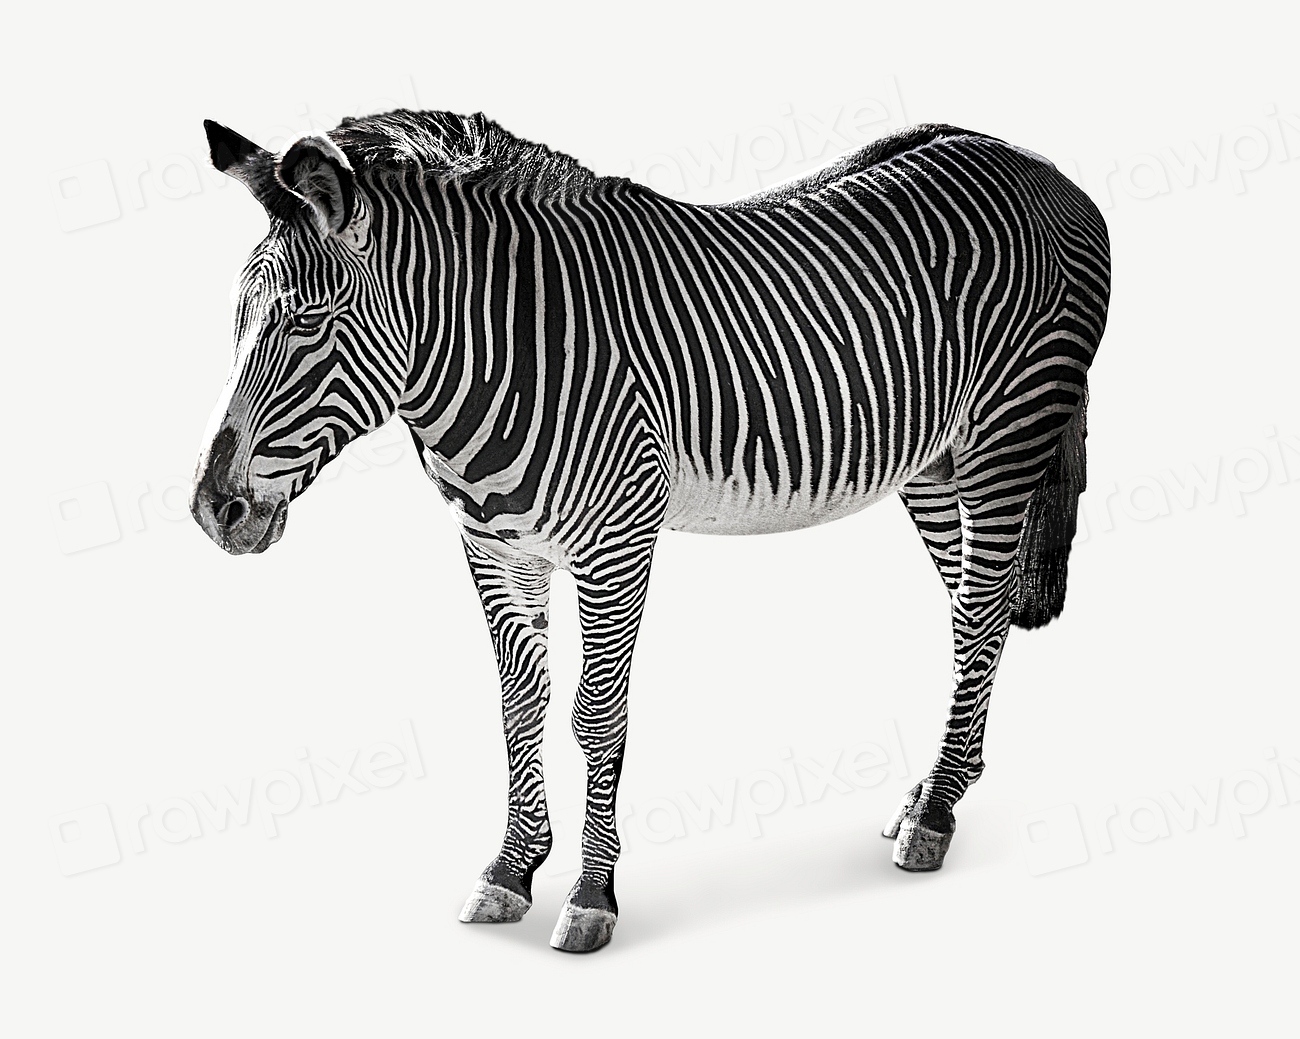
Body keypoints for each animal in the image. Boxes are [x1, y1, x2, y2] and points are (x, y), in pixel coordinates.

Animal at [191, 109, 1110, 953]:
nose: (212, 511)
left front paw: (590, 892)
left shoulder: (618, 540)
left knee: (981, 612)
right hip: (933, 460)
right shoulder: (496, 547)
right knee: (972, 610)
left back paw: (937, 814)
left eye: (307, 322)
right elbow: (518, 706)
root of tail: (1030, 159)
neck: (504, 351)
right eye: (237, 316)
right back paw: (935, 788)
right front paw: (511, 869)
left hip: (1005, 436)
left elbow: (597, 716)